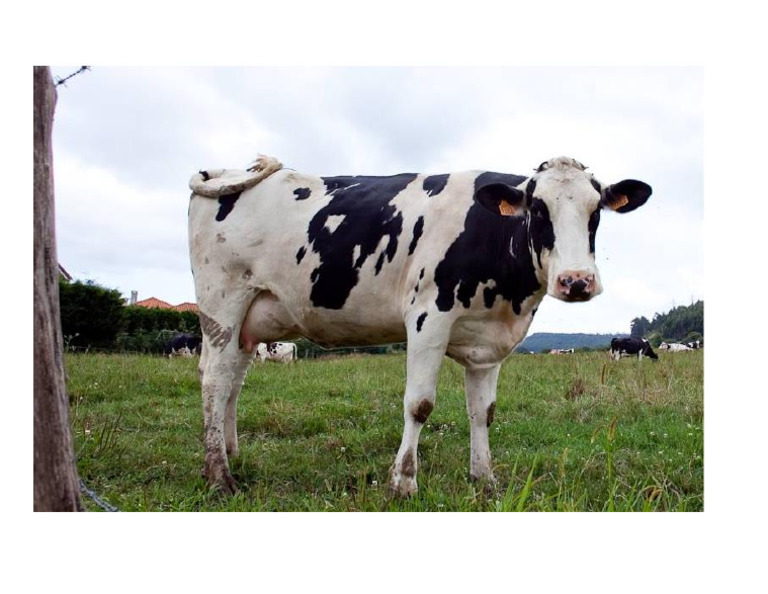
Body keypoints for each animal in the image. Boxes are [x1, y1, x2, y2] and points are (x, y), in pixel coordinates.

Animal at [188, 154, 652, 495]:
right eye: (538, 210)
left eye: (596, 212)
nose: (577, 281)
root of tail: (223, 171)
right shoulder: (429, 318)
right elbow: (420, 404)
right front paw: (404, 482)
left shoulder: (487, 341)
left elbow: (483, 412)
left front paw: (485, 479)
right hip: (222, 301)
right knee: (214, 379)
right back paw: (219, 476)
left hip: (250, 321)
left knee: (233, 381)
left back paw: (231, 454)